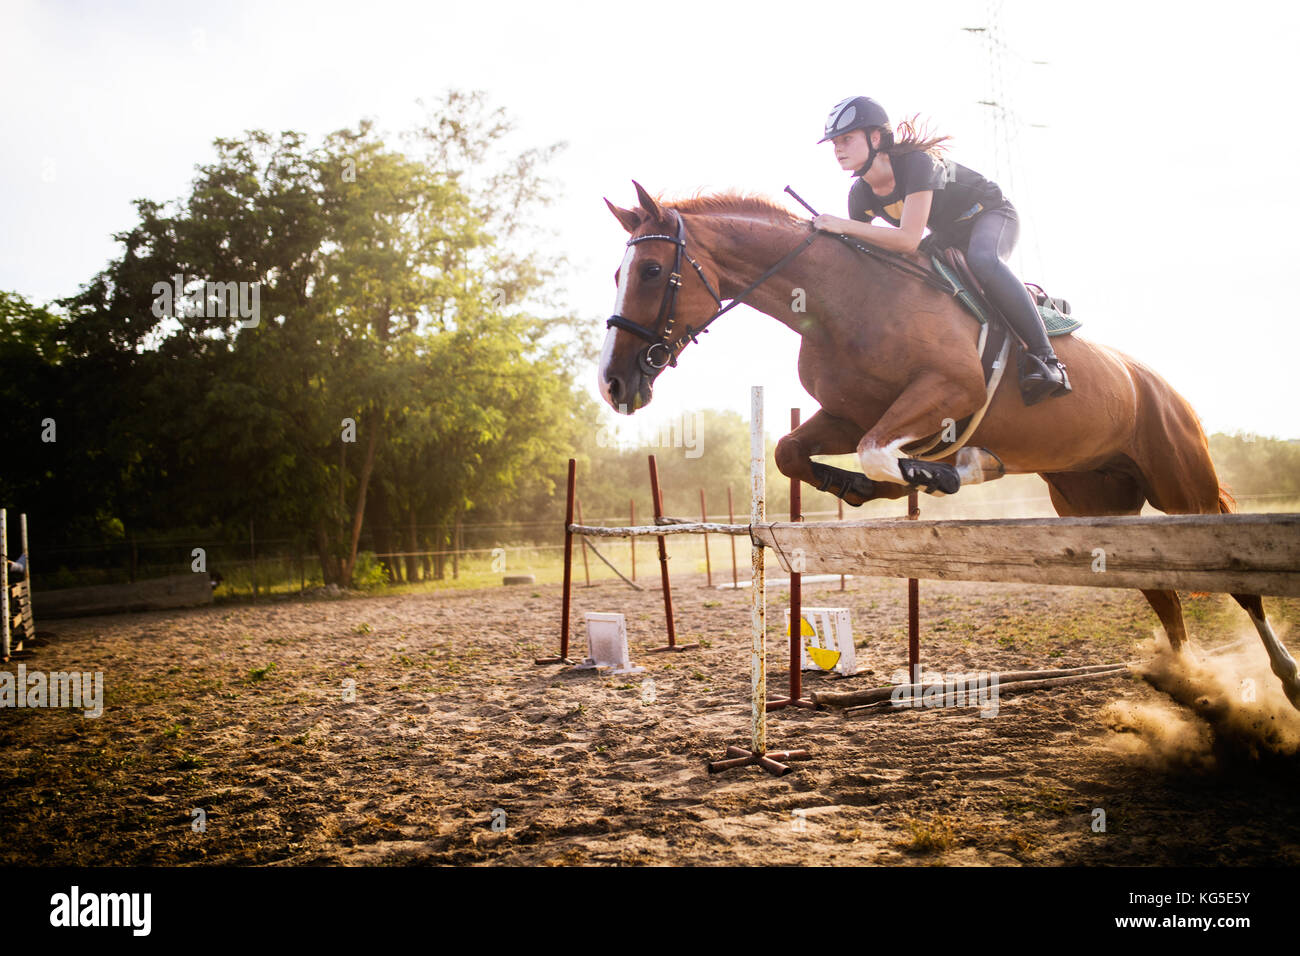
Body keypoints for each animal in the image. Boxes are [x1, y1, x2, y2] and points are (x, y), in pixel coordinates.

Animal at [598, 181, 1300, 711]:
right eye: (619, 271)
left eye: (653, 270)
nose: (613, 383)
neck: (839, 297)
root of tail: (1155, 380)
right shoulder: (848, 414)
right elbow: (795, 453)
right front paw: (864, 487)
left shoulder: (945, 389)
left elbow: (886, 451)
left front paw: (950, 469)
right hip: (1092, 501)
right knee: (1161, 590)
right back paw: (1189, 684)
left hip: (1182, 482)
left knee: (1236, 581)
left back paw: (1284, 680)